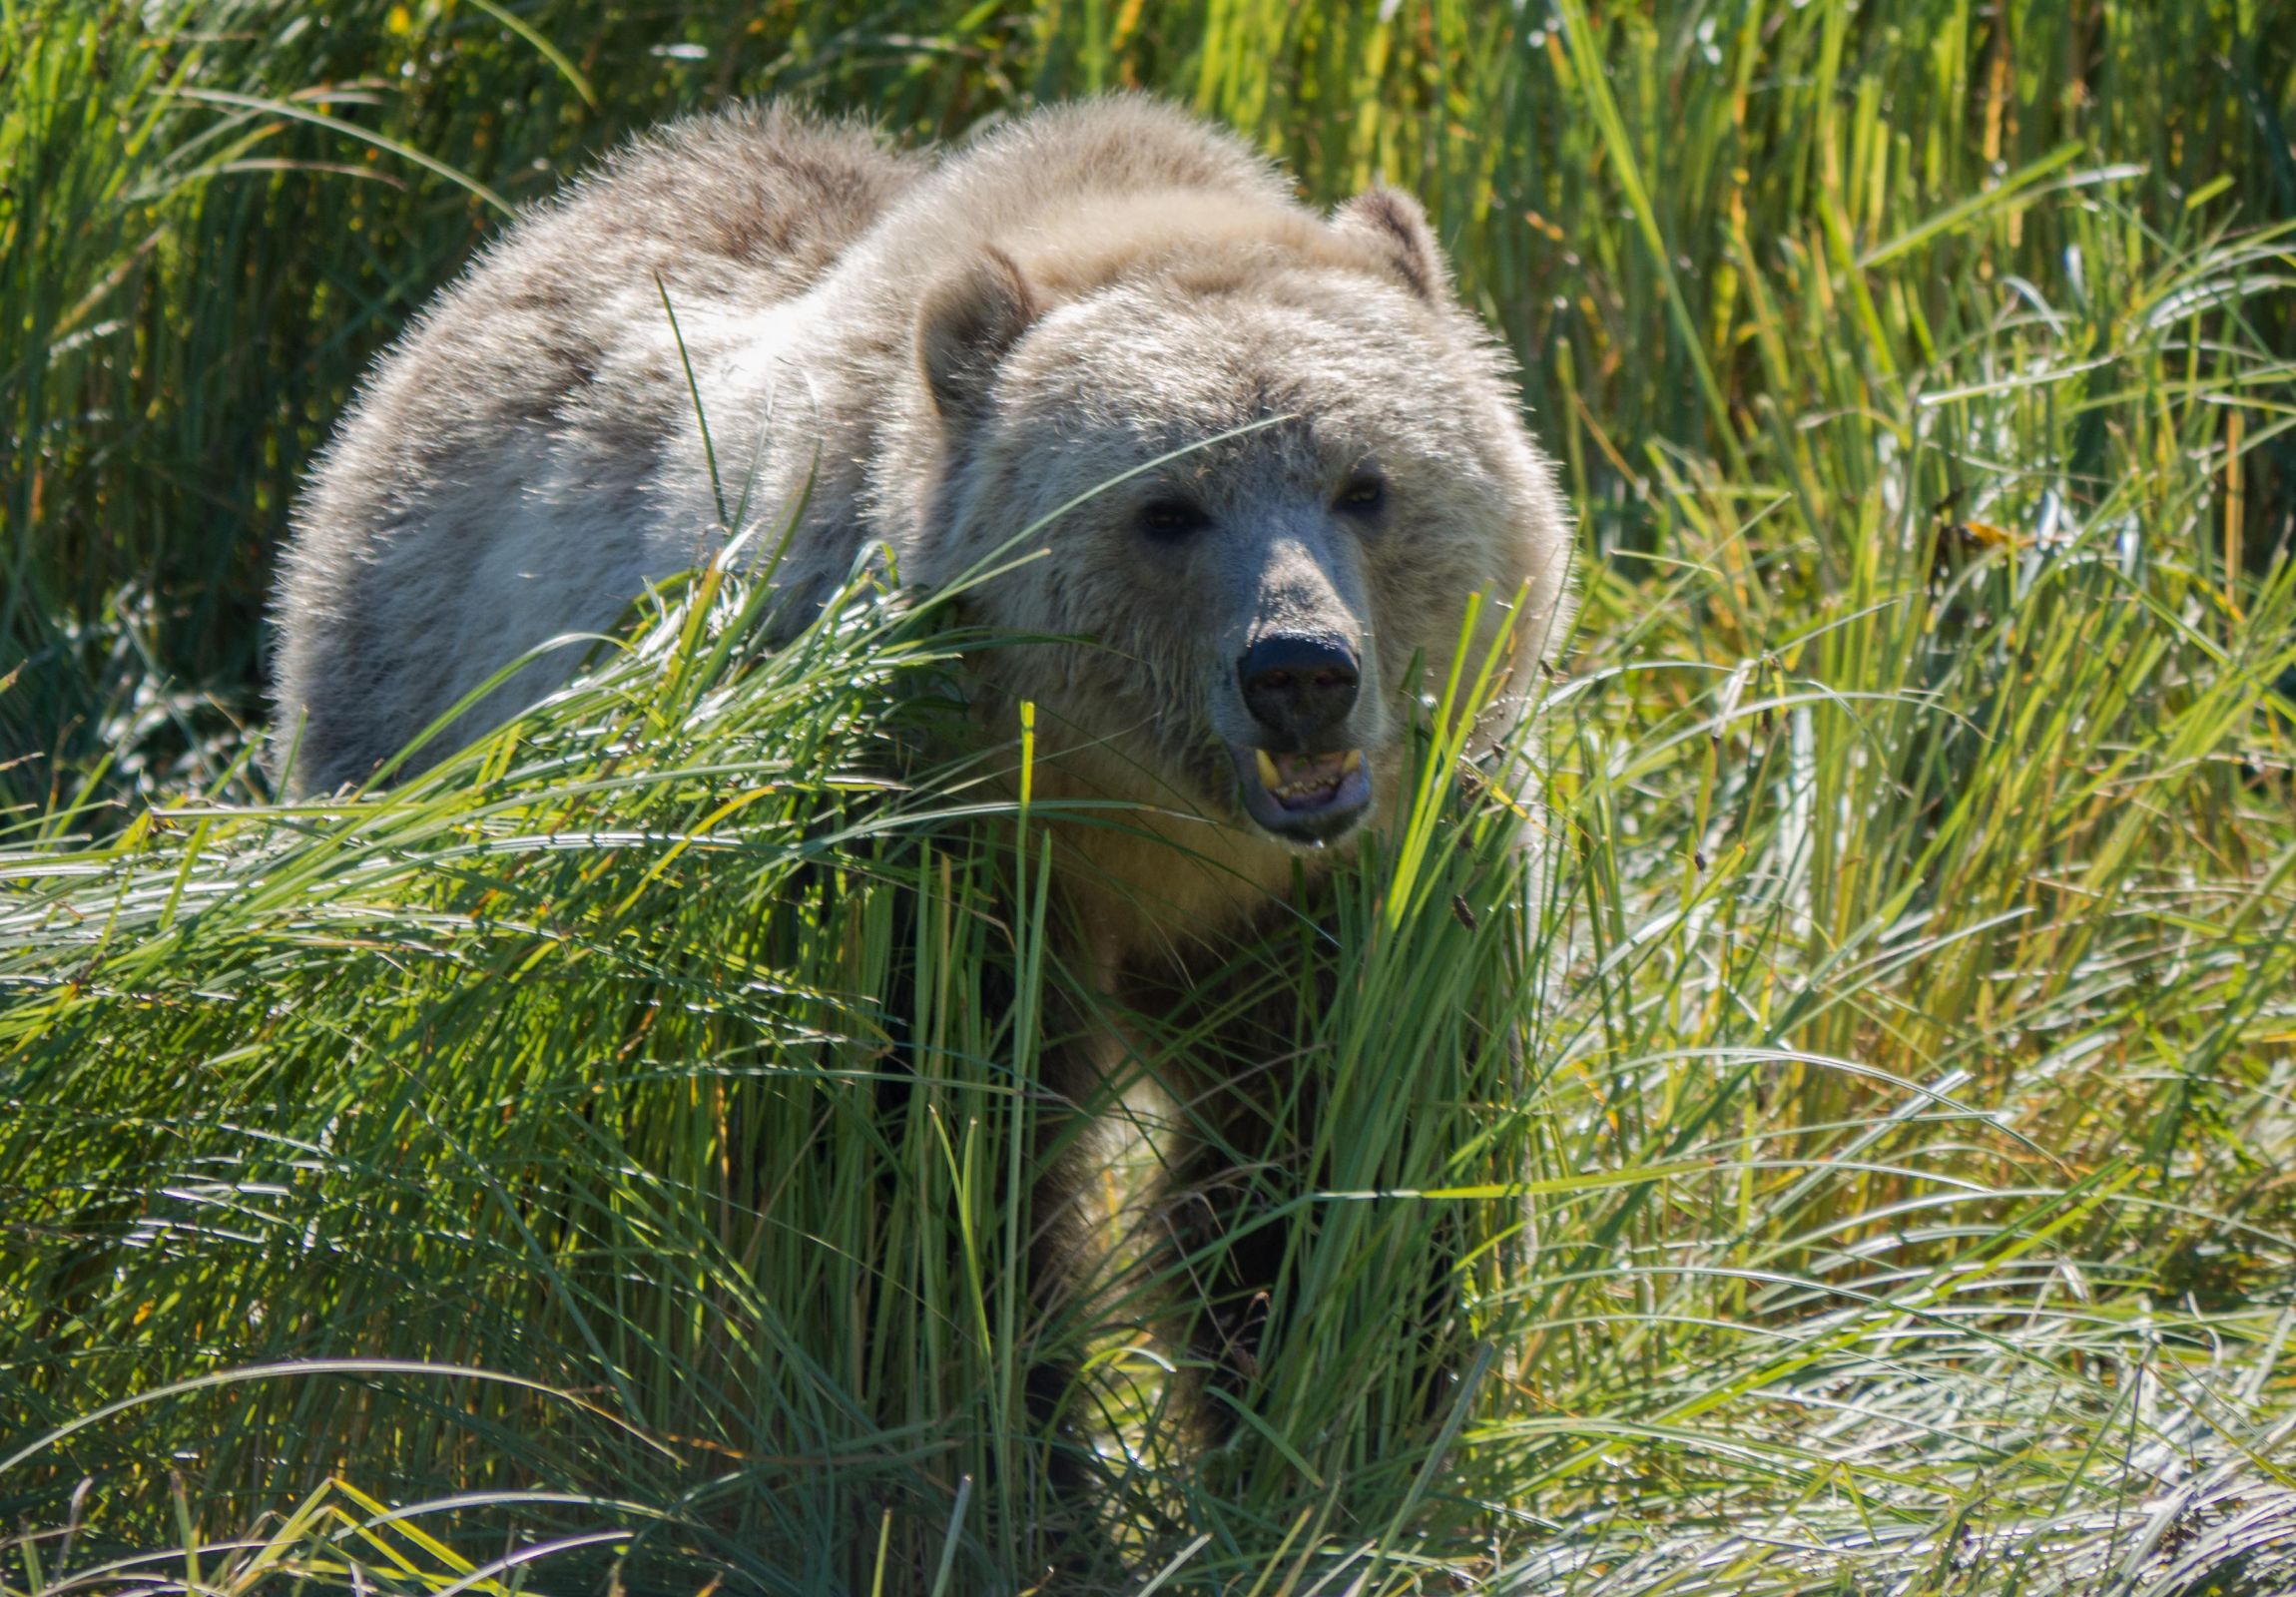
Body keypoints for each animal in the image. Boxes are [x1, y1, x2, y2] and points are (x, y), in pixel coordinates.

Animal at [269, 95, 1572, 1506]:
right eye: (1165, 506)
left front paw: (1332, 1440)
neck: (1142, 827)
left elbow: (1339, 1145)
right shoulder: (914, 852)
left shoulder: (1350, 889)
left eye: (1363, 482)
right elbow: (928, 1175)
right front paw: (1003, 1474)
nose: (1298, 672)